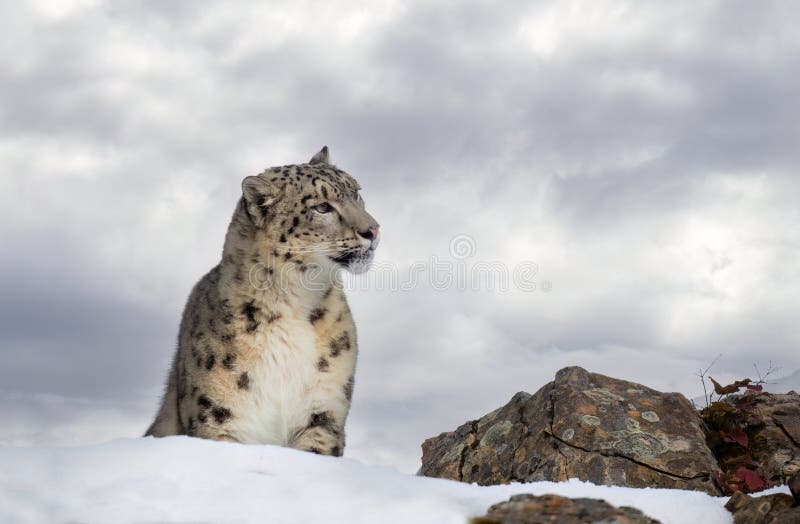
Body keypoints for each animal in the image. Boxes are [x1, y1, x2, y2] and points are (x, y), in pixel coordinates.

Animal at [144, 146, 379, 456]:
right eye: (321, 207)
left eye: (356, 193)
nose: (373, 230)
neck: (294, 303)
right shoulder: (219, 415)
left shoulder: (324, 411)